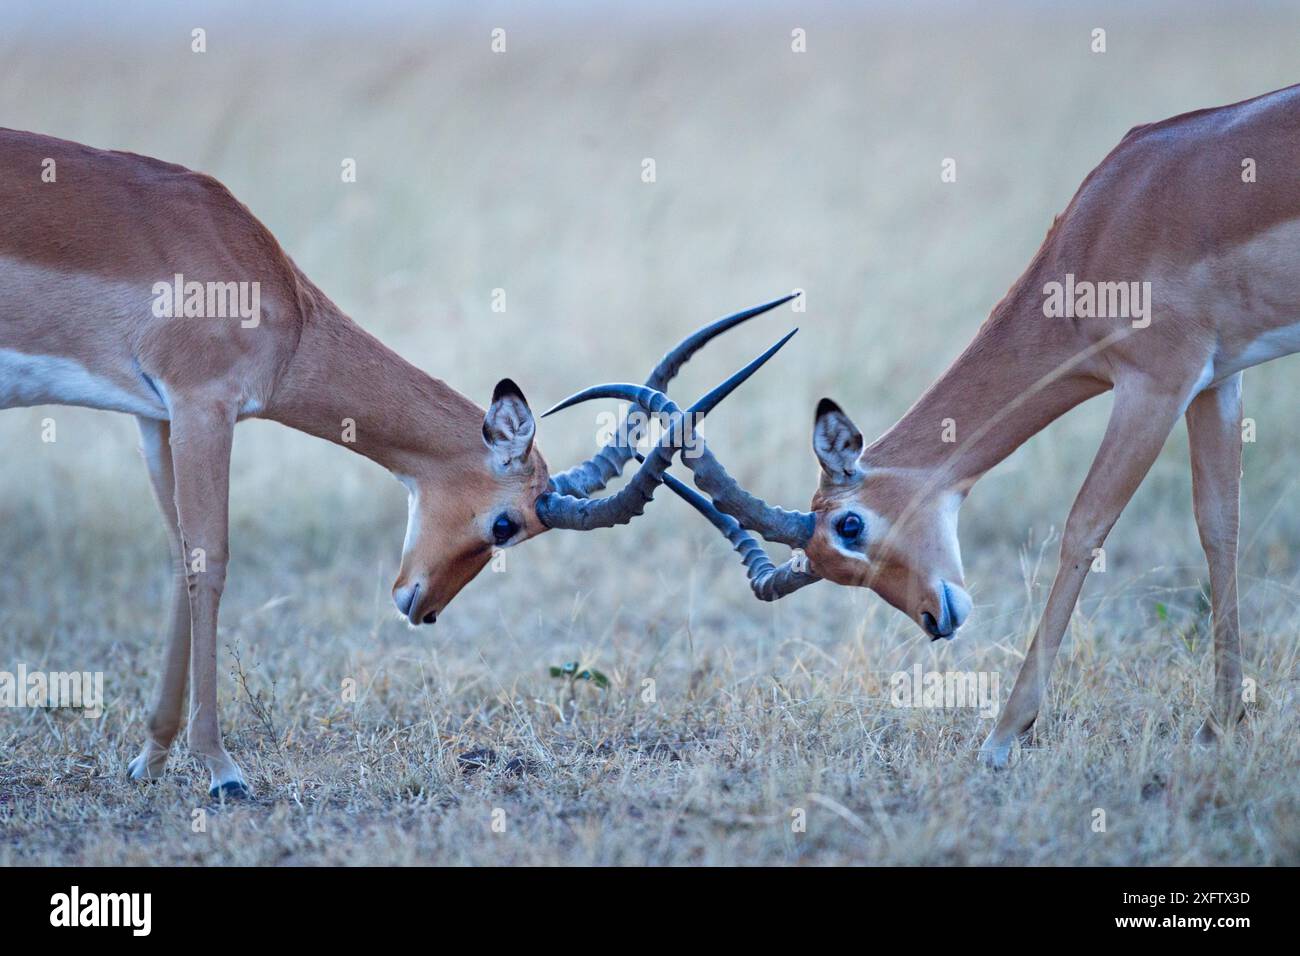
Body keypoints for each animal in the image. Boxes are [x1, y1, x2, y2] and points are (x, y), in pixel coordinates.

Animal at [0, 127, 796, 797]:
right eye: (505, 524)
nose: (423, 607)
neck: (275, 293)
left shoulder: (156, 415)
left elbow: (176, 556)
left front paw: (152, 757)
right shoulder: (204, 406)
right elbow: (211, 559)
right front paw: (222, 769)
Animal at [558, 85, 1300, 767]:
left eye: (849, 525)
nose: (935, 620)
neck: (1111, 218)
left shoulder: (1156, 384)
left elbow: (1083, 529)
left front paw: (1002, 737)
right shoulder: (1215, 380)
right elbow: (1219, 525)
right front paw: (1221, 725)